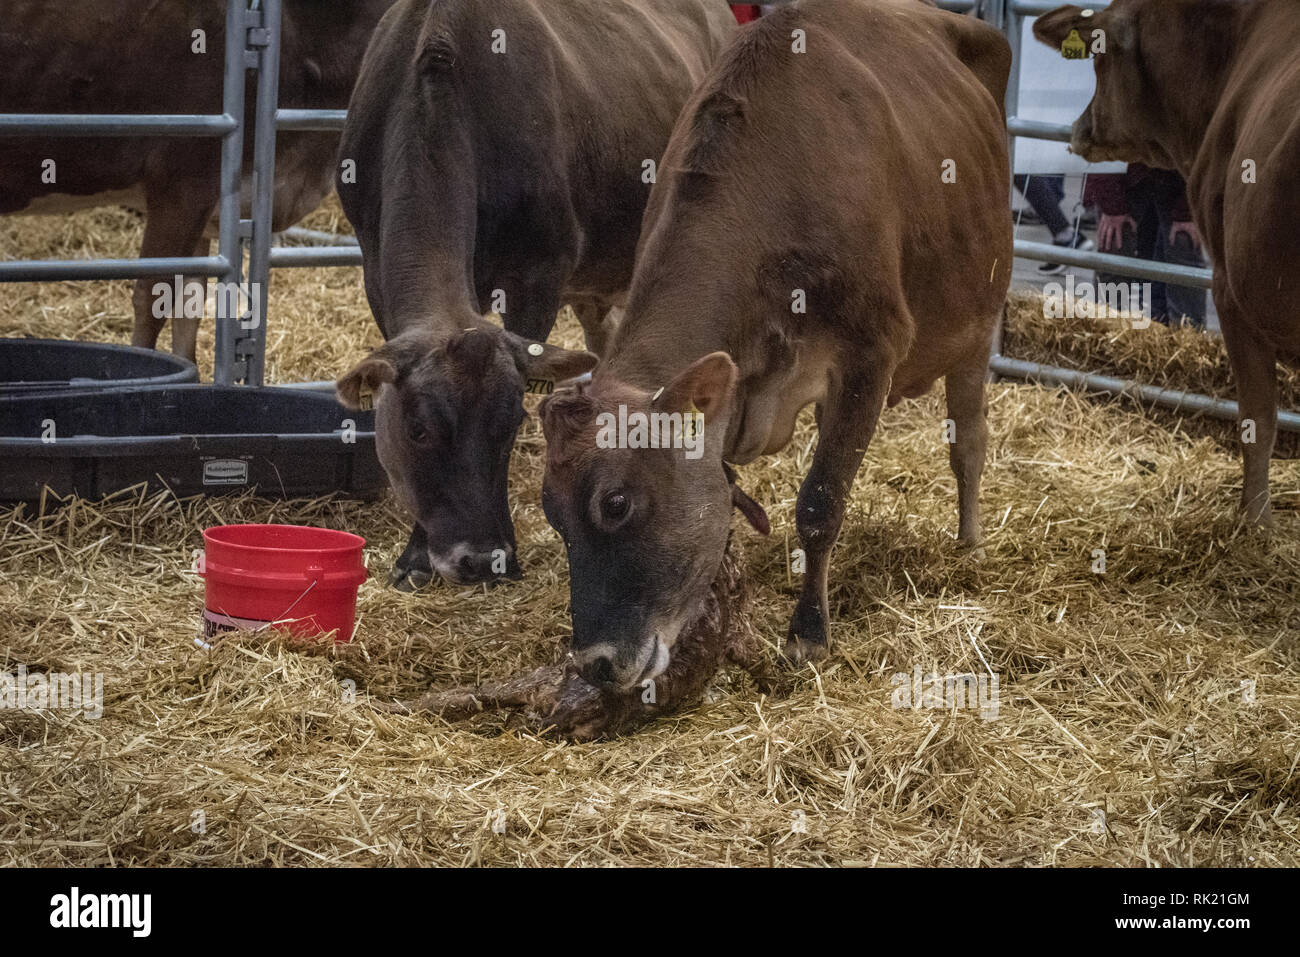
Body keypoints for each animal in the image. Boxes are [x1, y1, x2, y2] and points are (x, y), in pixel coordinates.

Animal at [333, 0, 736, 589]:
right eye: (418, 429)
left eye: (512, 424)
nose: (480, 559)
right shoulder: (374, 267)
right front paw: (414, 557)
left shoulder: (539, 274)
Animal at [538, 0, 1014, 690]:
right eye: (551, 514)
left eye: (616, 502)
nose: (595, 666)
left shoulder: (871, 353)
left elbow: (821, 502)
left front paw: (807, 632)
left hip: (978, 323)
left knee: (969, 444)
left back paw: (969, 542)